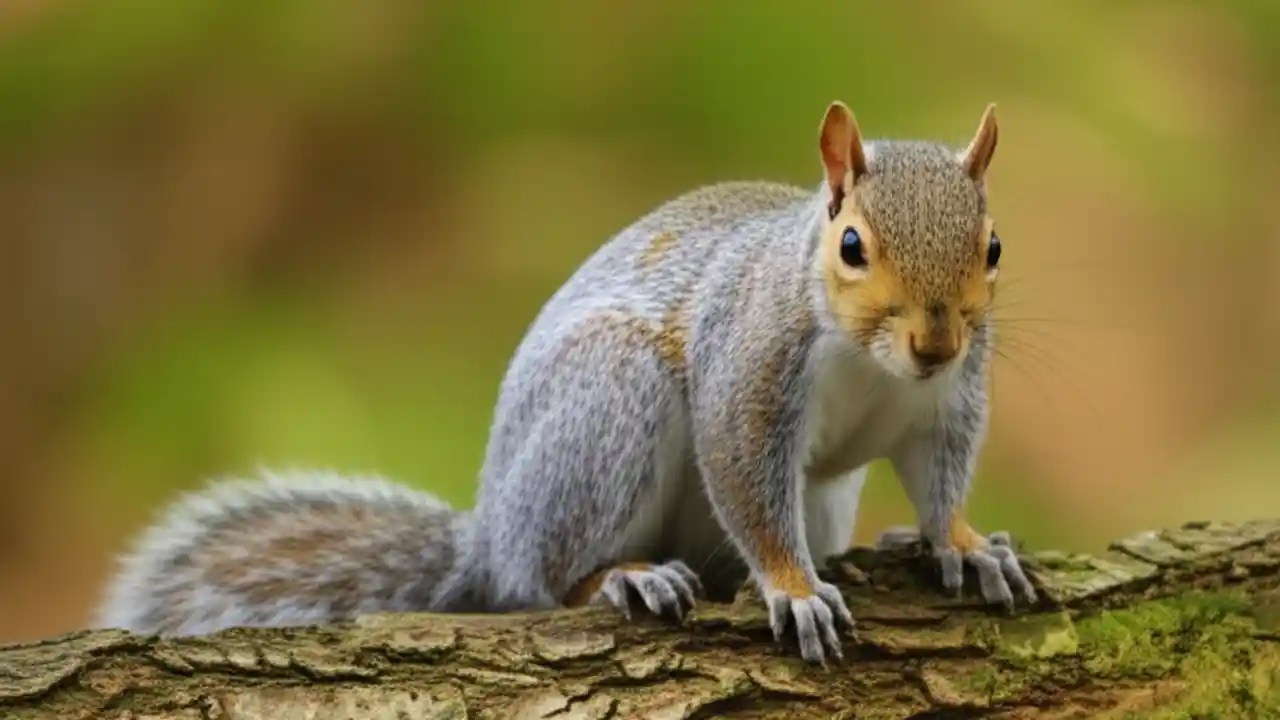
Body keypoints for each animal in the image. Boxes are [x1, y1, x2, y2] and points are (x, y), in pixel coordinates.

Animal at [95, 101, 1037, 665]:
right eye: (851, 246)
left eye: (994, 246)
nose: (934, 341)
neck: (875, 364)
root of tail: (490, 533)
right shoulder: (750, 368)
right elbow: (745, 481)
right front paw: (797, 590)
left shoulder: (950, 401)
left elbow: (941, 478)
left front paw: (961, 543)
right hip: (610, 407)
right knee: (540, 583)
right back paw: (624, 579)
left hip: (818, 492)